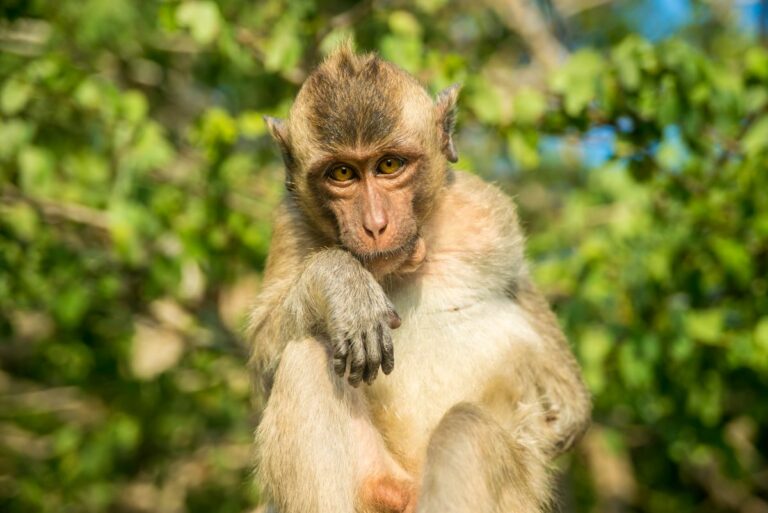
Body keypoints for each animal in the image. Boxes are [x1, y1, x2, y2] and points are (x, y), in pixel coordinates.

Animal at [248, 43, 591, 513]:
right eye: (342, 173)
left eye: (389, 165)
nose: (375, 225)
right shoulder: (290, 224)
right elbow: (265, 348)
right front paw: (343, 285)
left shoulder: (485, 209)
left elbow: (519, 288)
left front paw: (571, 405)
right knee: (305, 357)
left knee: (466, 430)